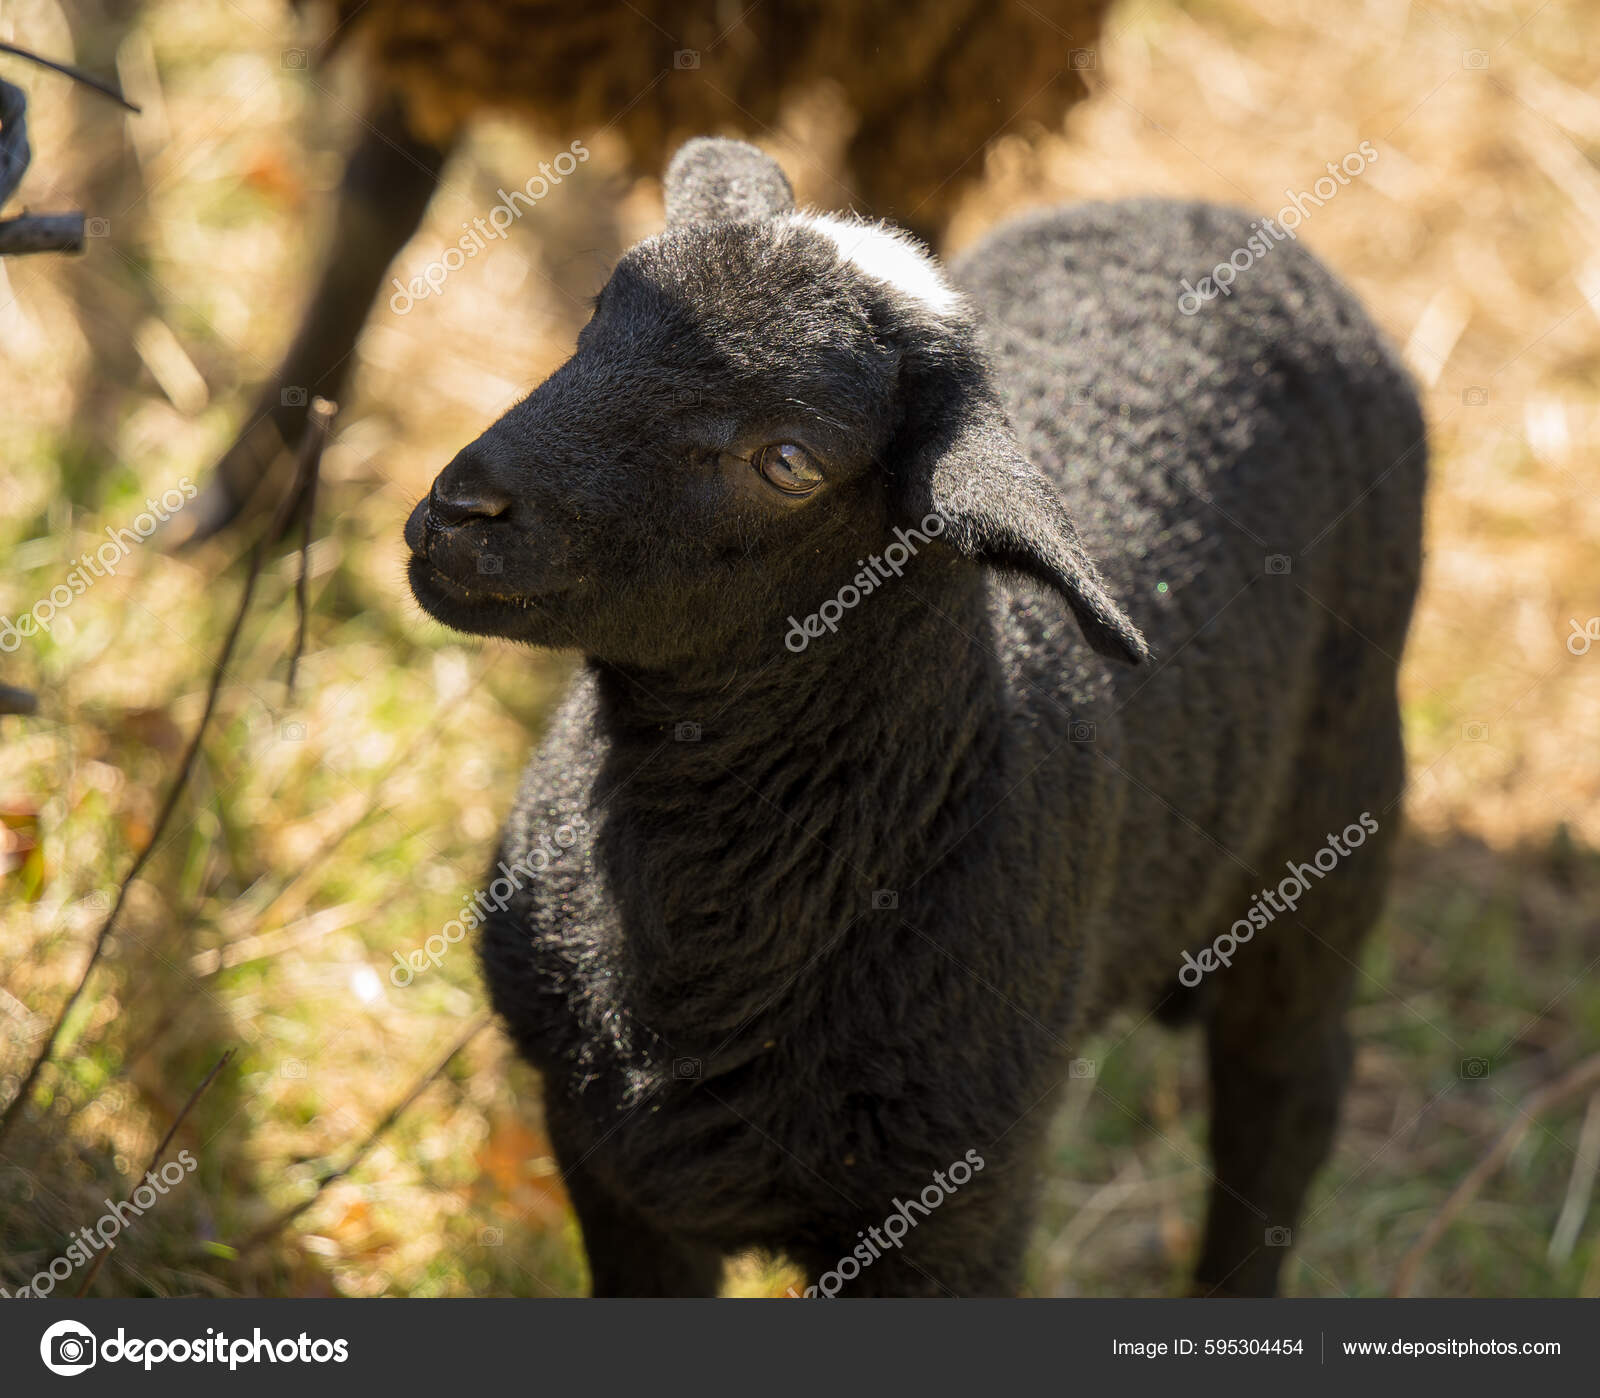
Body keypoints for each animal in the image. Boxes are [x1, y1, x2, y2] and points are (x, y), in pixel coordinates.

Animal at [404, 137, 1426, 1296]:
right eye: (593, 319)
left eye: (788, 462)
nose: (460, 511)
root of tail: (1221, 218)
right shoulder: (609, 1167)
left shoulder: (956, 1220)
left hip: (1337, 814)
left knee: (1286, 1092)